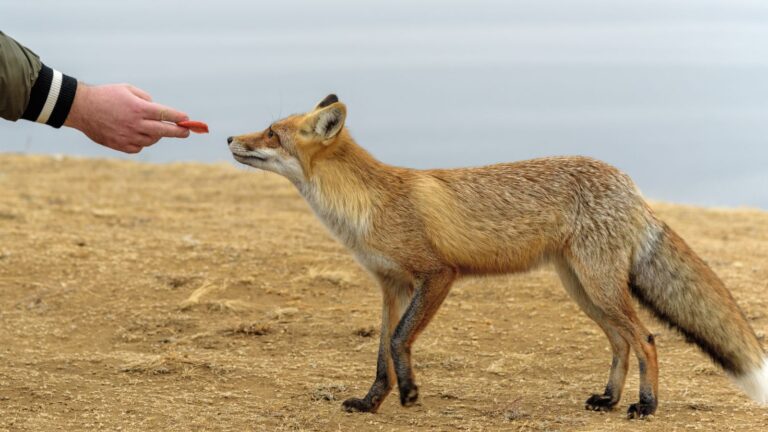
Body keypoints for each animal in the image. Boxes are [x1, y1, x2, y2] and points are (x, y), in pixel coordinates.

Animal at [227, 94, 768, 418]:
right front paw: (372, 401)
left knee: (647, 339)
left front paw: (410, 393)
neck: (368, 204)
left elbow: (400, 341)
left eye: (272, 133)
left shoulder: (437, 274)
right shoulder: (390, 286)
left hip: (597, 285)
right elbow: (381, 352)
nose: (230, 137)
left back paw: (646, 405)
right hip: (582, 288)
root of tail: (628, 183)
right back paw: (610, 399)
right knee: (620, 341)